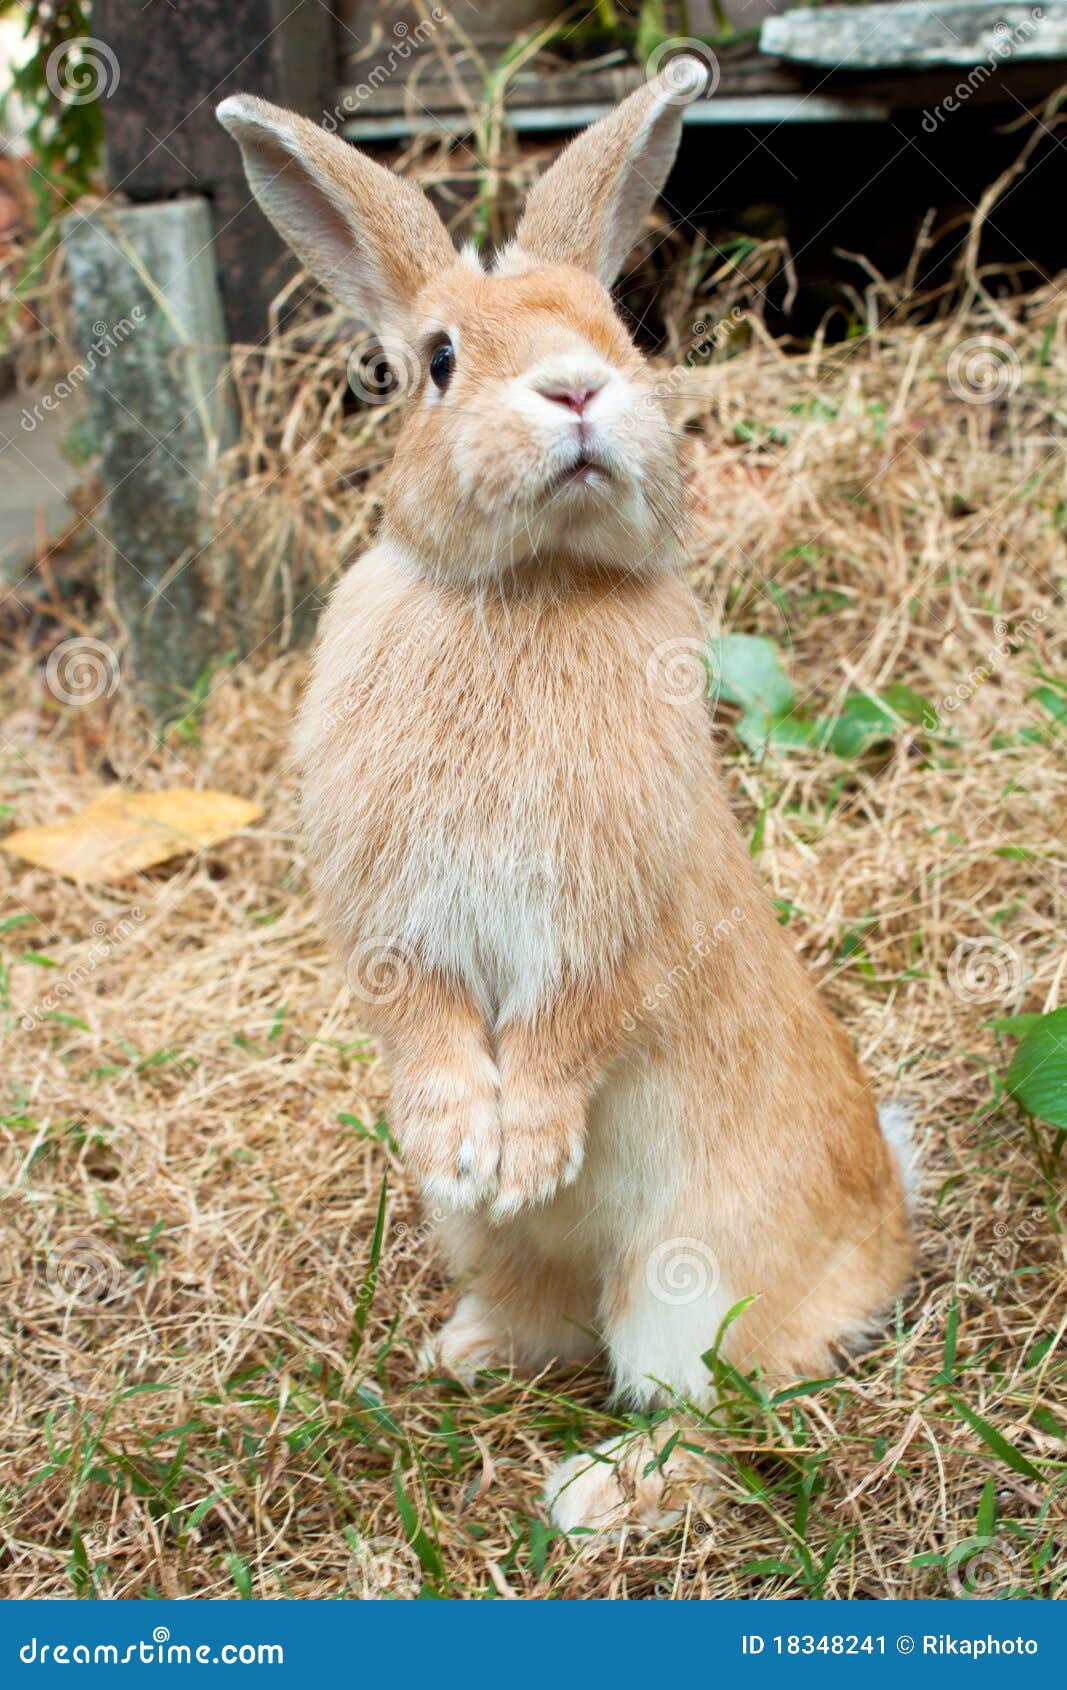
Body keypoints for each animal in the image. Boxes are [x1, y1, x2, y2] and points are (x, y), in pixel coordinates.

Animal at [218, 58, 915, 1534]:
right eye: (433, 361)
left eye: (619, 329)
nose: (578, 390)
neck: (528, 587)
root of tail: (884, 1240)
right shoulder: (392, 920)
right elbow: (426, 1023)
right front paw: (465, 1138)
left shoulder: (612, 910)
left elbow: (572, 1017)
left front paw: (527, 1140)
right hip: (482, 1241)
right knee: (547, 1308)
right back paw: (468, 1348)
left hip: (690, 1277)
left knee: (714, 1411)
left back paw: (595, 1494)